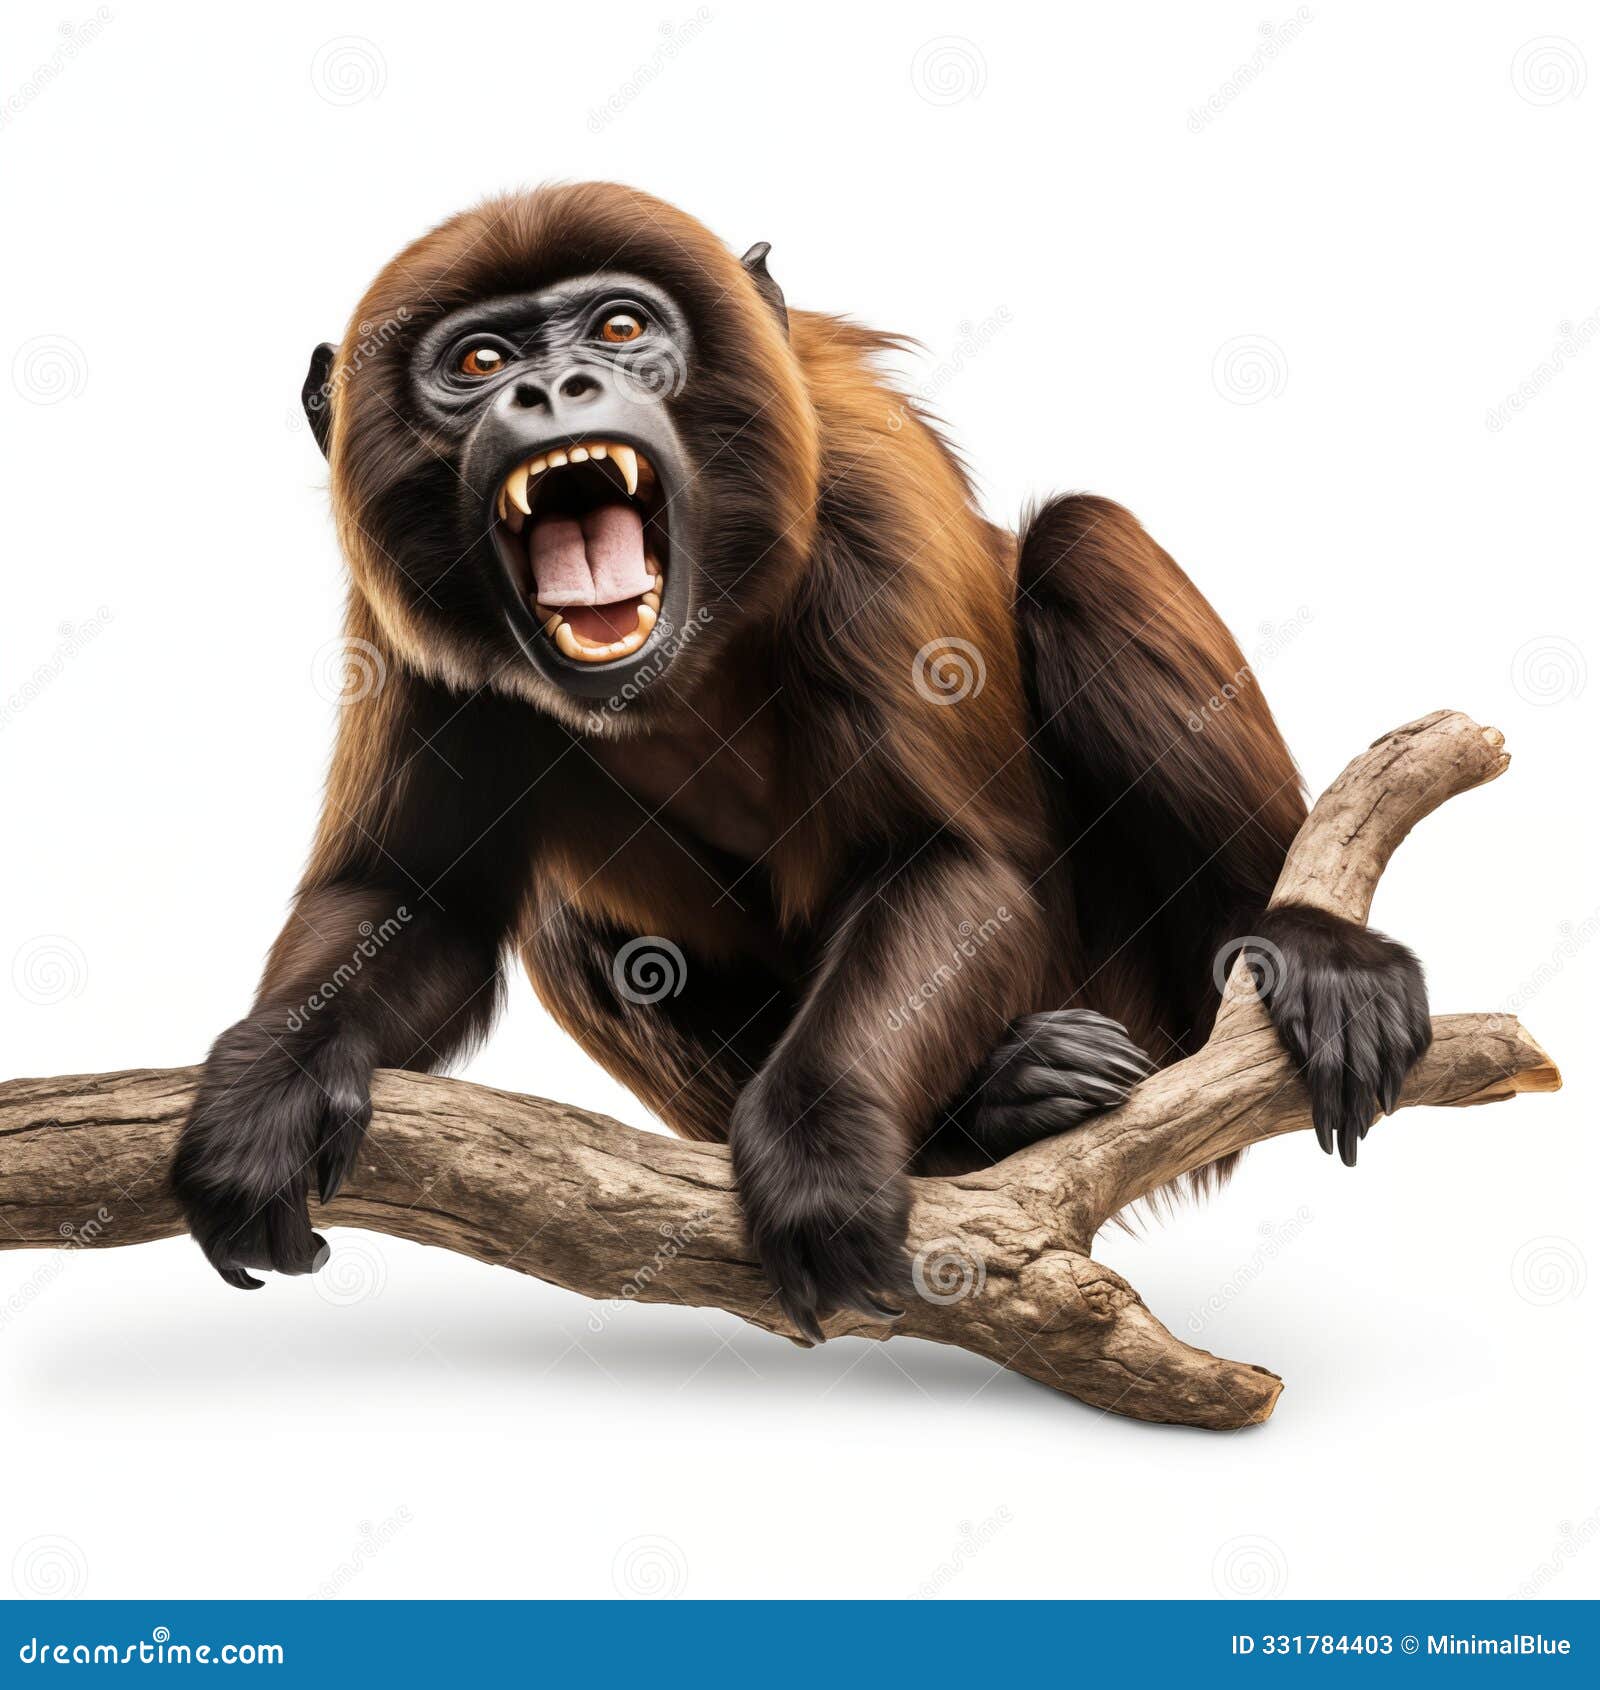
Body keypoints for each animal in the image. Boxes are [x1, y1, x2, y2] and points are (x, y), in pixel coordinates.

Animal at [172, 183, 1431, 1339]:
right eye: (480, 360)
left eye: (619, 329)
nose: (550, 390)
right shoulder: (404, 636)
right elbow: (410, 897)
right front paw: (270, 1083)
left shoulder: (867, 515)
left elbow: (943, 857)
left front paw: (819, 1147)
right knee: (571, 926)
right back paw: (1007, 1103)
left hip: (1149, 987)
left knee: (1080, 545)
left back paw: (1300, 948)